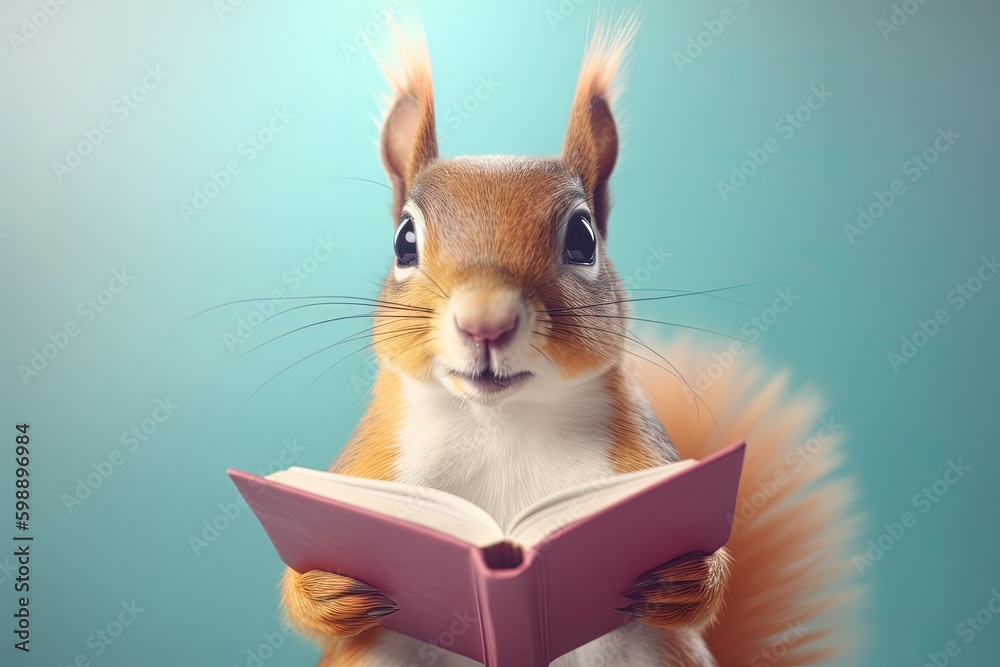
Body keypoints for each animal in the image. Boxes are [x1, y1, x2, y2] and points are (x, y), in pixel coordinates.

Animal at [278, 16, 862, 667]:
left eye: (582, 237)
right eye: (405, 240)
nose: (485, 322)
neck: (499, 424)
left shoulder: (641, 460)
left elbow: (704, 592)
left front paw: (684, 574)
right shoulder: (373, 468)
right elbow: (305, 600)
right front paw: (327, 585)